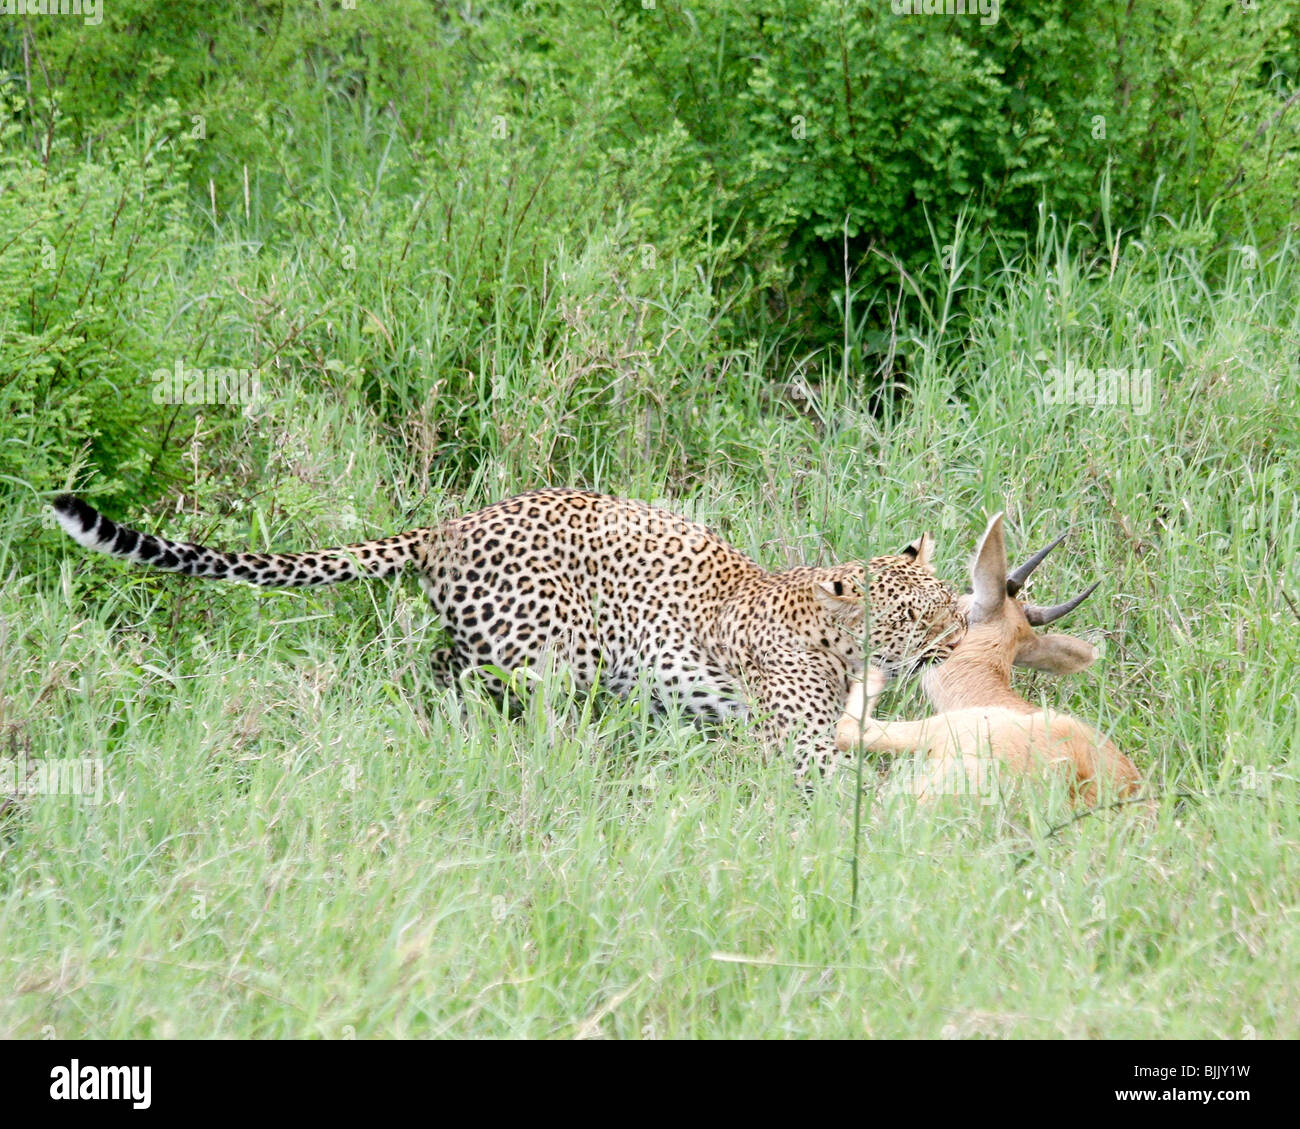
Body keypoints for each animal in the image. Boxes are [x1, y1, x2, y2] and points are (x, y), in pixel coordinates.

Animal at [52, 488, 966, 778]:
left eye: (949, 600)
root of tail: (444, 528)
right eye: (915, 614)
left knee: (443, 676)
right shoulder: (800, 745)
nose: (961, 638)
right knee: (521, 709)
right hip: (560, 648)